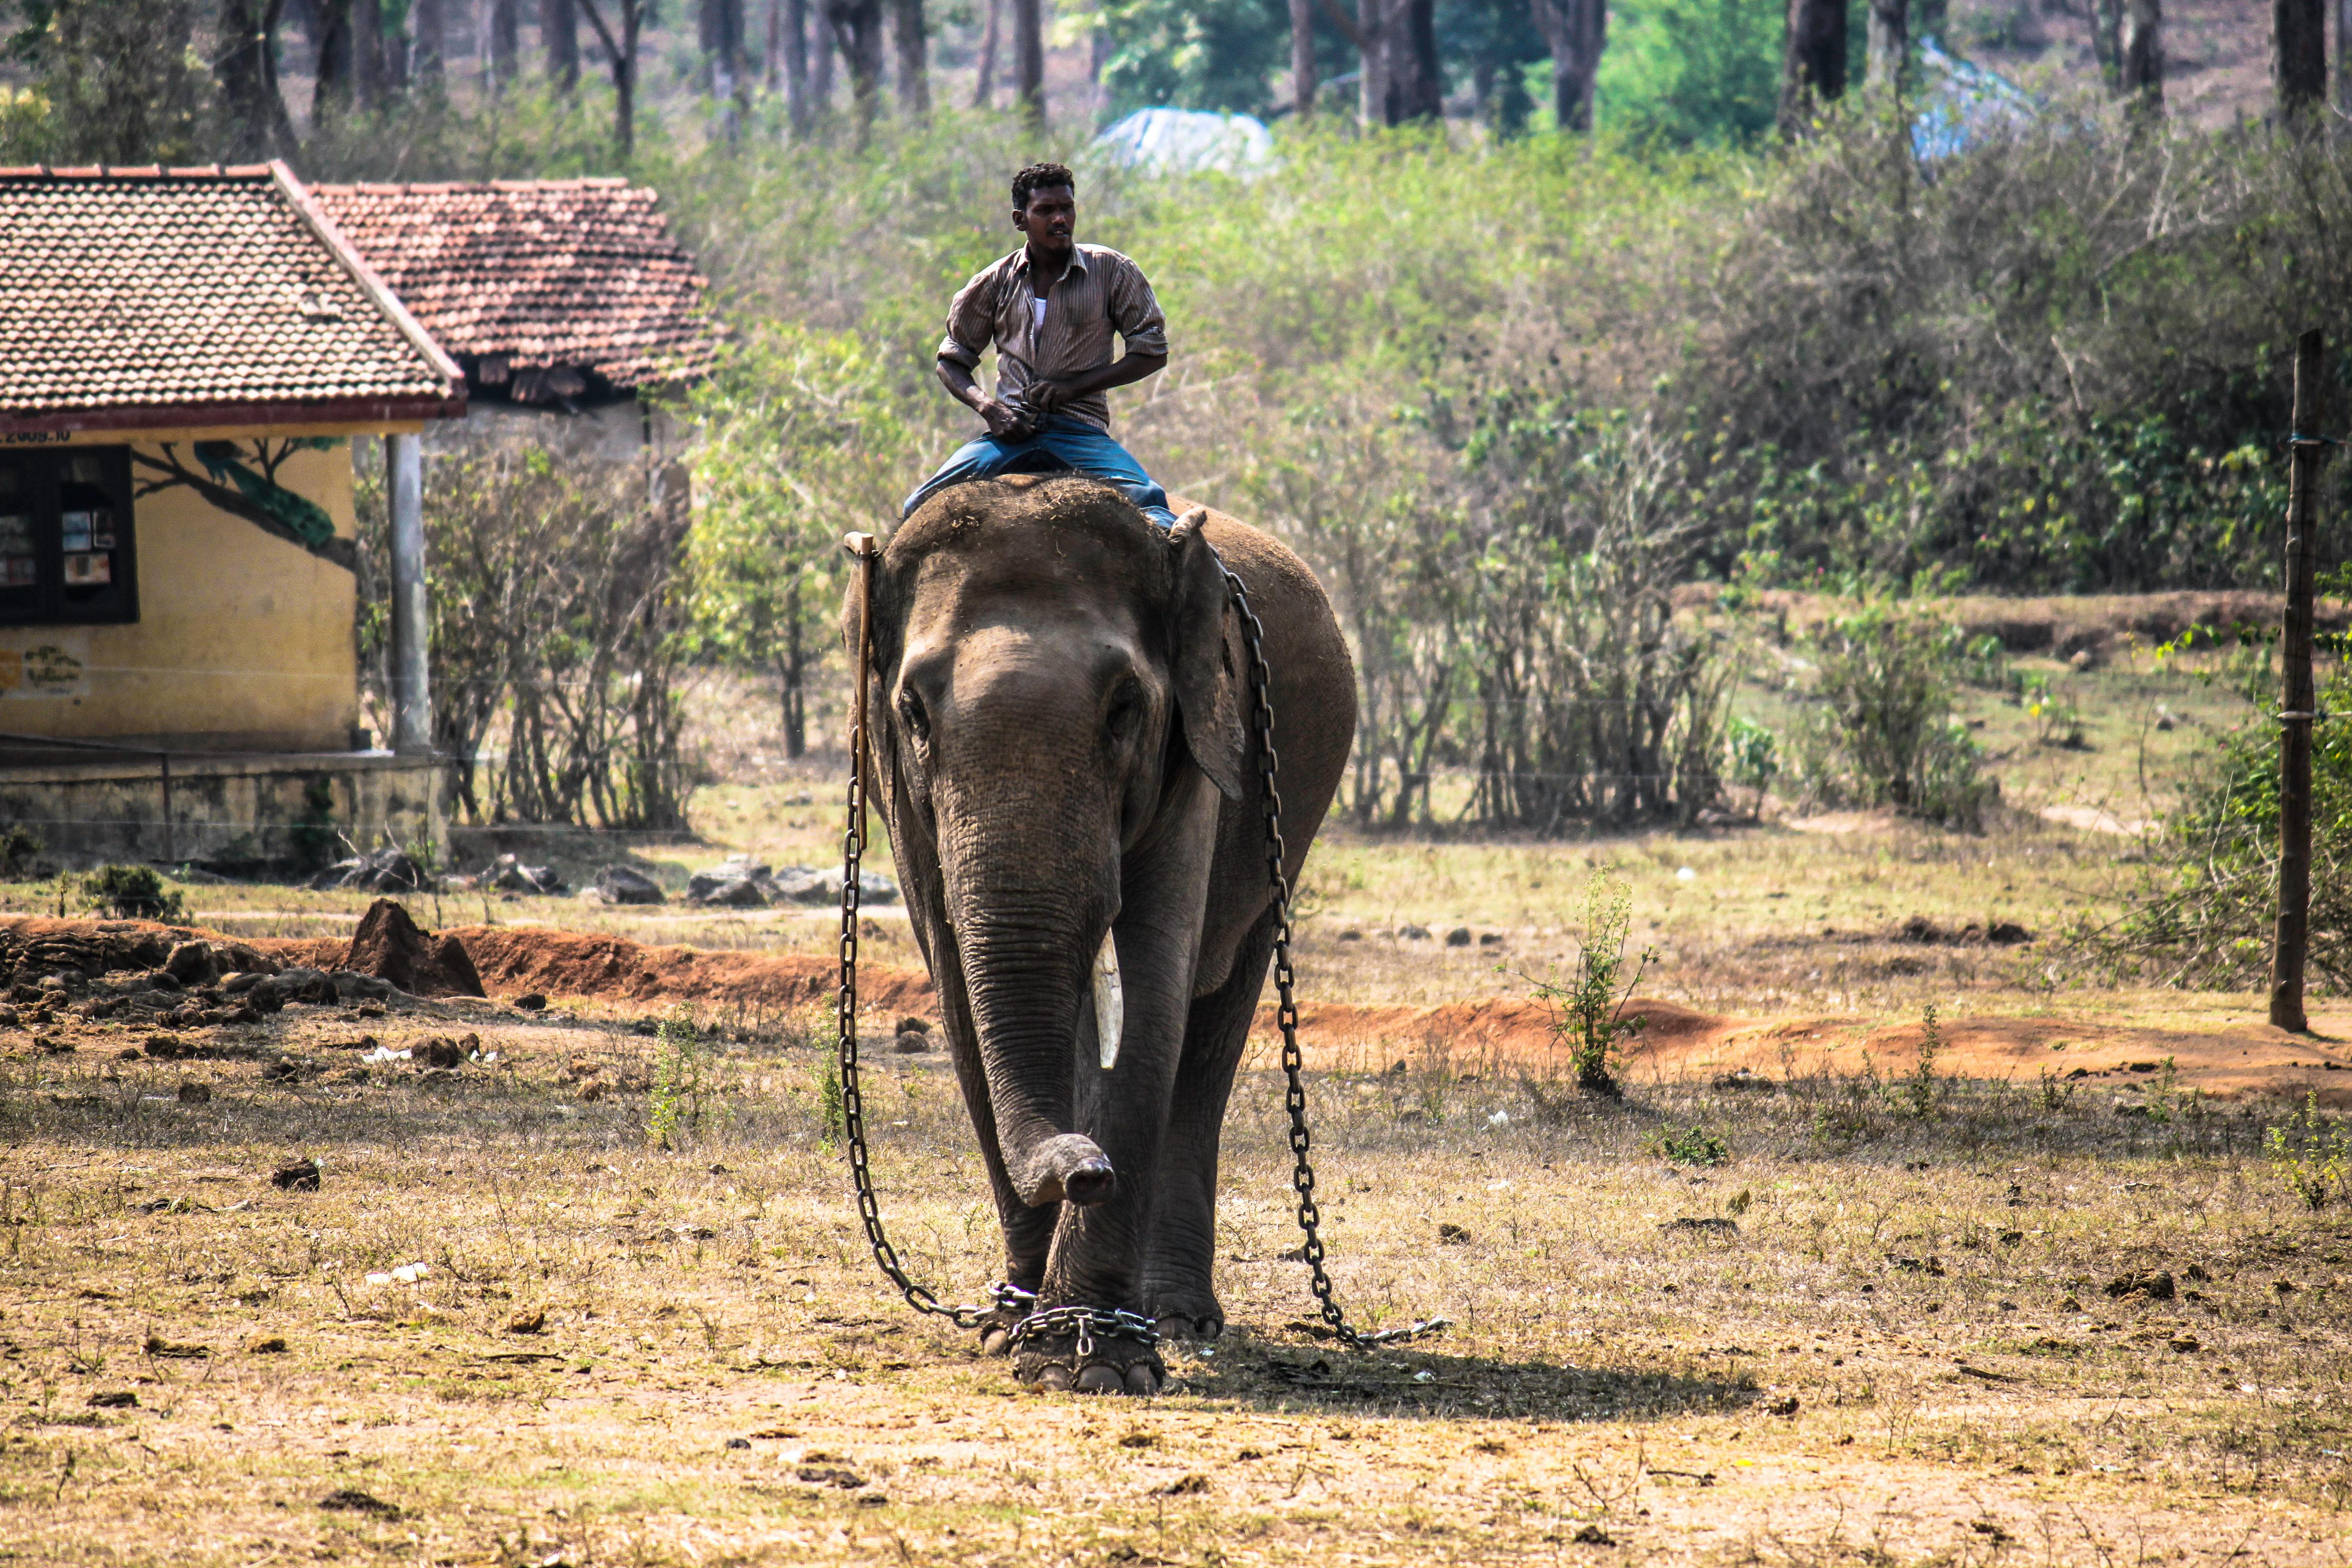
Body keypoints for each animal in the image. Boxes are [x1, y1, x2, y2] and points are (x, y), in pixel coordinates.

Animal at [843, 474, 1355, 1395]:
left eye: (1126, 707)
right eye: (913, 711)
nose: (1087, 1171)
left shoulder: (1202, 750)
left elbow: (1152, 983)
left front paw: (1091, 1360)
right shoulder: (899, 794)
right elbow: (958, 982)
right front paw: (1013, 1331)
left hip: (1286, 822)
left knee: (1217, 1018)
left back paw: (1180, 1318)